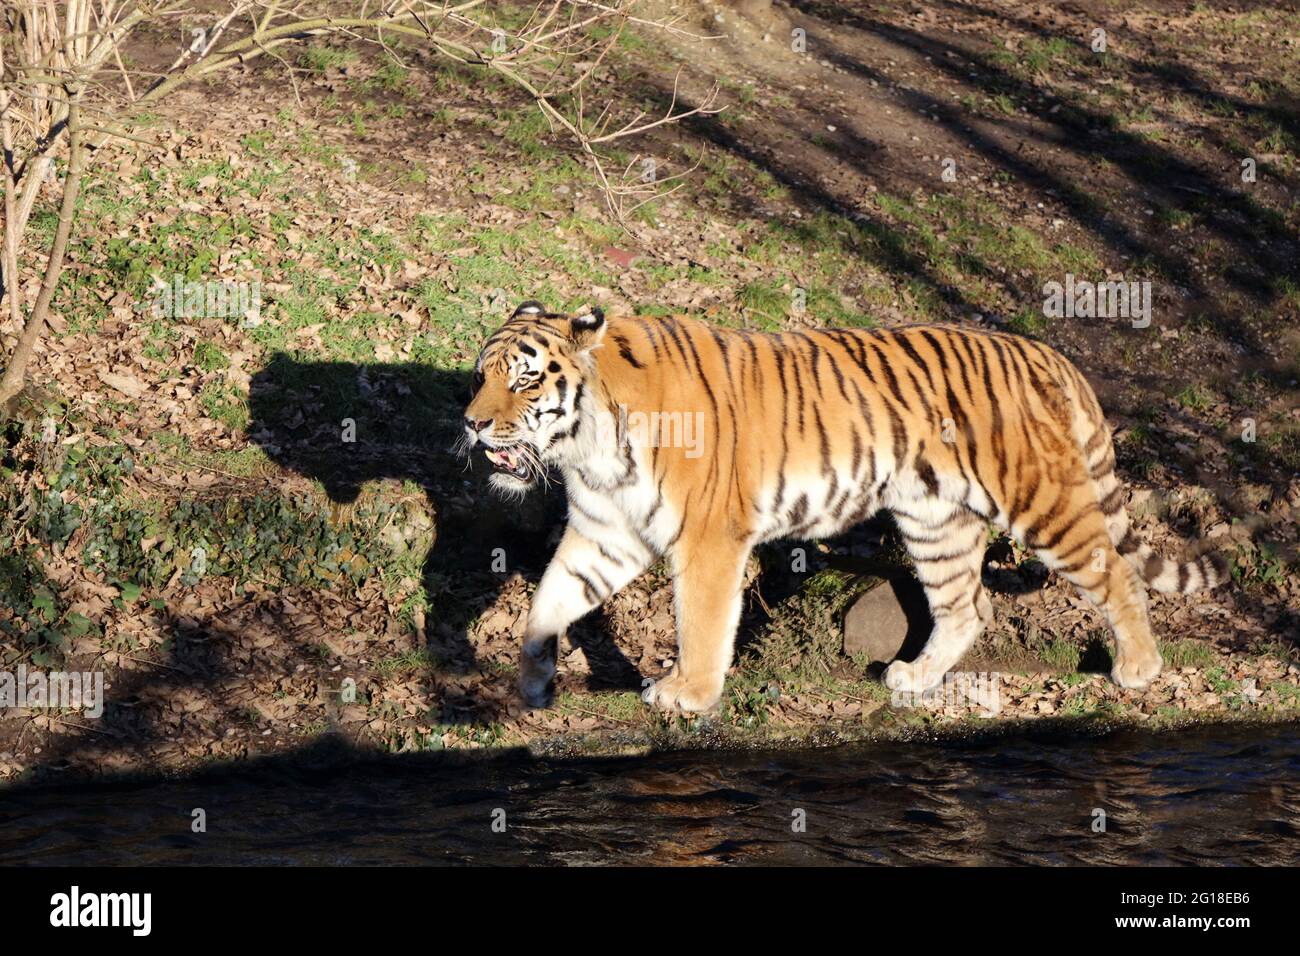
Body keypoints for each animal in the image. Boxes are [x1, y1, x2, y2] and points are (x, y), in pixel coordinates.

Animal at [462, 301, 1226, 714]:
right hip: (933, 520)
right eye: (479, 376)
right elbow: (551, 600)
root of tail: (1048, 352)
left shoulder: (709, 538)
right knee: (965, 605)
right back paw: (914, 678)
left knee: (1115, 573)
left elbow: (701, 622)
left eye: (524, 381)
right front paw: (532, 682)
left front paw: (688, 693)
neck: (588, 442)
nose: (471, 424)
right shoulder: (606, 531)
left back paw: (1138, 669)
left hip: (1041, 502)